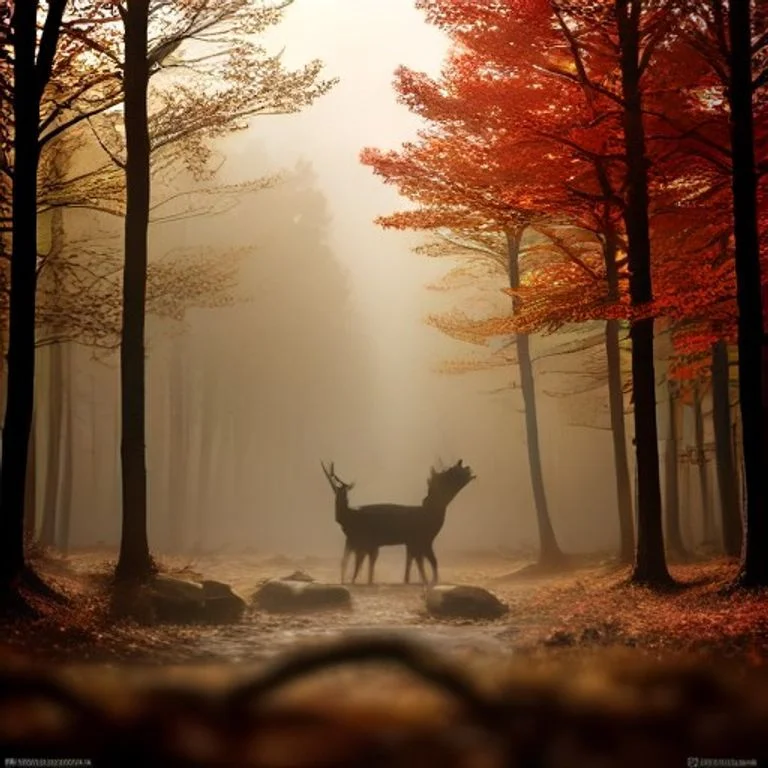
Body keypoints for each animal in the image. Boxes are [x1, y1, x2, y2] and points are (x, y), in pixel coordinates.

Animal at [321, 459, 475, 585]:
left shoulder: (412, 543)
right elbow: (429, 563)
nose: (467, 467)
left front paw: (413, 581)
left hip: (360, 542)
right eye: (451, 472)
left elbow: (414, 564)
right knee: (351, 562)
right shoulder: (422, 541)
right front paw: (429, 581)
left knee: (352, 561)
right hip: (360, 541)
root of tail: (345, 516)